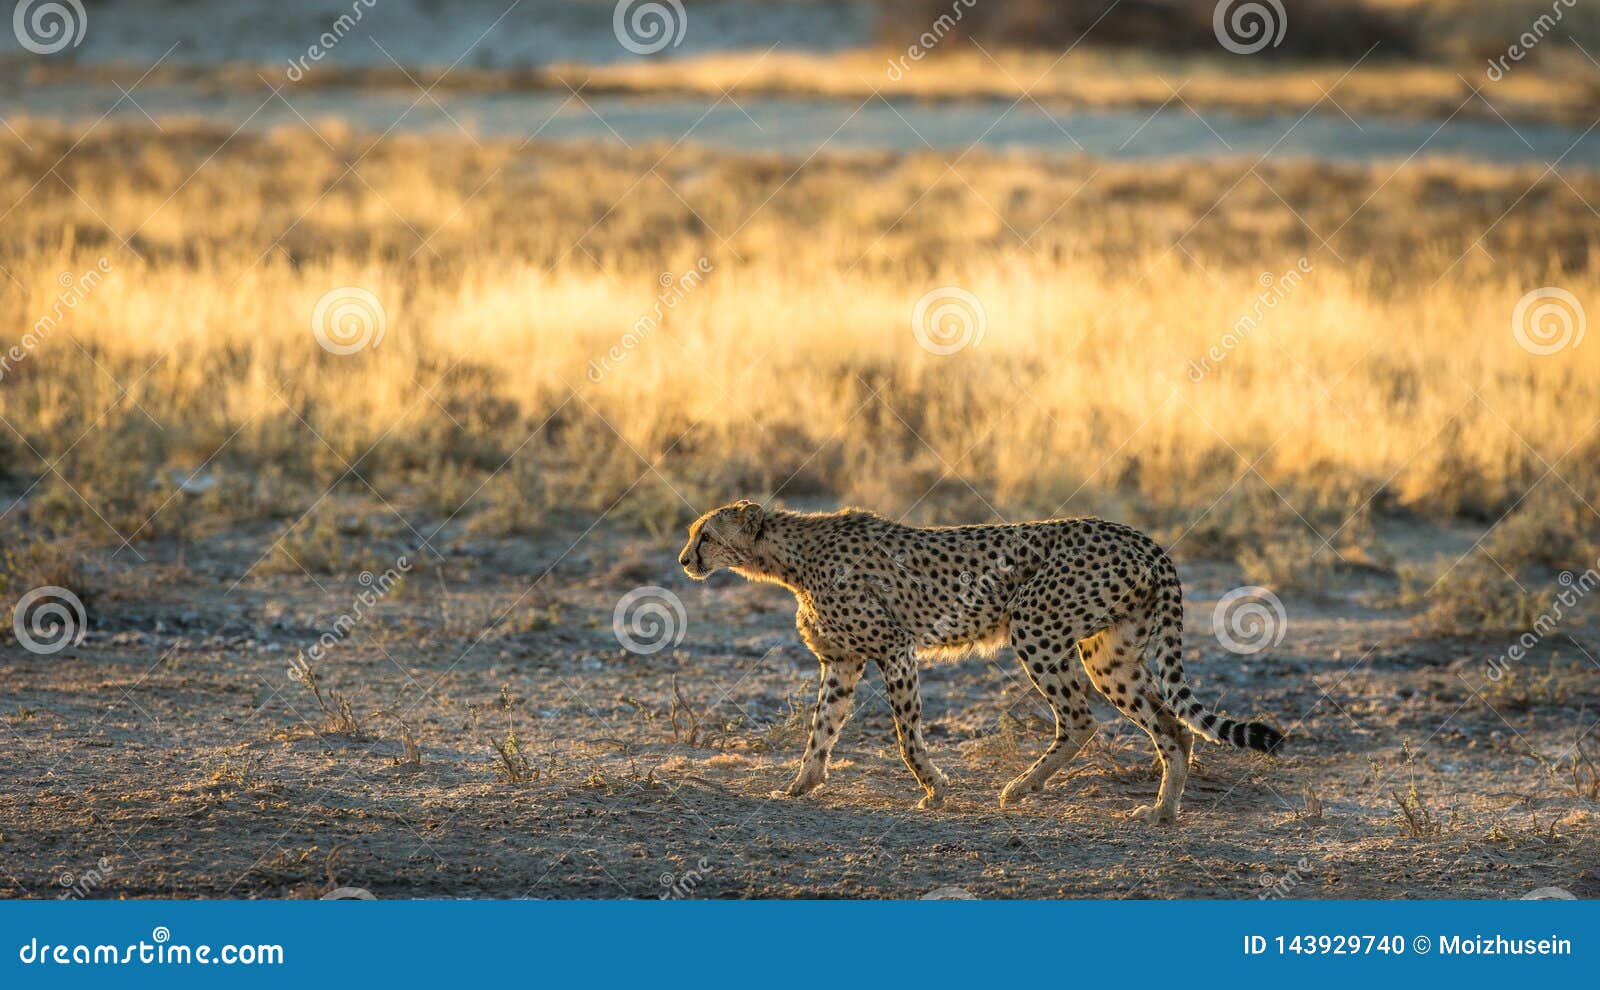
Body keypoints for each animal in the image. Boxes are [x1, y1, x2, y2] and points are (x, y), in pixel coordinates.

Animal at [678, 499, 1284, 824]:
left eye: (704, 534)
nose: (684, 560)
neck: (789, 559)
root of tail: (1142, 537)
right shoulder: (843, 662)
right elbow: (820, 730)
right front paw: (799, 786)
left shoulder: (895, 649)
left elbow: (905, 737)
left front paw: (934, 788)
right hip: (1110, 653)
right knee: (1171, 728)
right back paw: (1162, 811)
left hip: (1034, 625)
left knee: (1081, 718)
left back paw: (1022, 788)